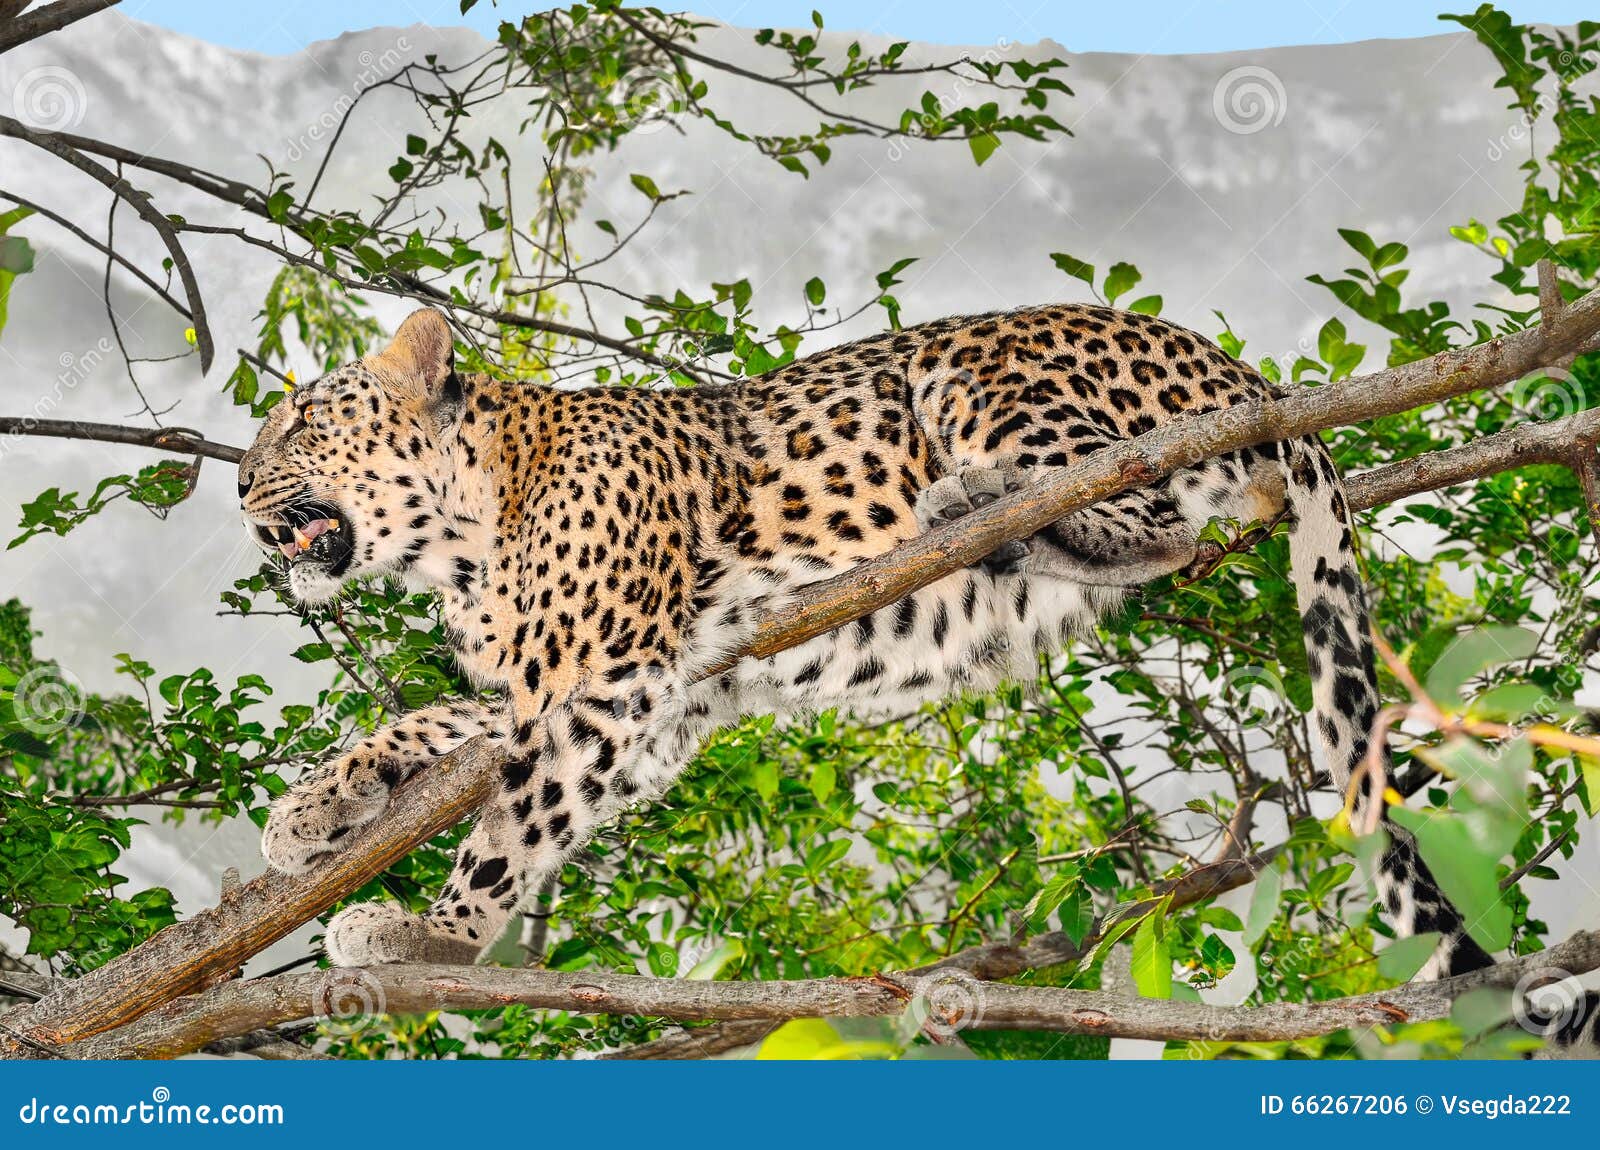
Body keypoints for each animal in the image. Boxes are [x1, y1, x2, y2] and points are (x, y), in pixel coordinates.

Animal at [242, 303, 1542, 1013]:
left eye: (302, 422)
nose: (242, 488)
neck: (457, 546)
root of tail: (1245, 375)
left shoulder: (604, 680)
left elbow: (513, 827)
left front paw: (428, 935)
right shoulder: (648, 696)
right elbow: (437, 726)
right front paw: (317, 808)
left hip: (978, 376)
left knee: (1147, 505)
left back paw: (979, 502)